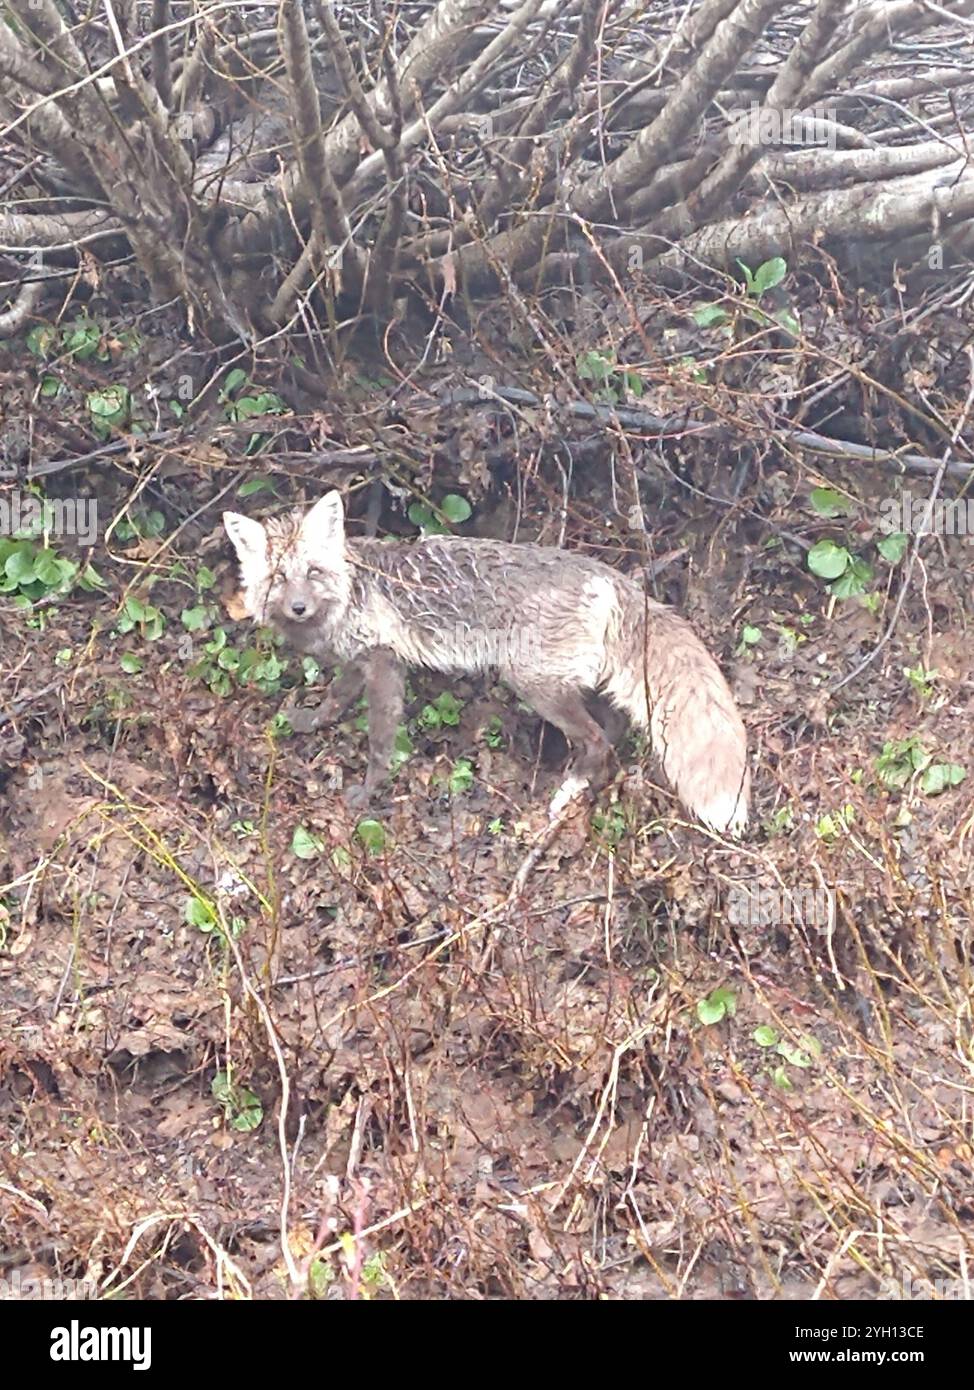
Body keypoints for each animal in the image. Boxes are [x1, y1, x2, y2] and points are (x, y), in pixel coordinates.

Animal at [223, 492, 750, 833]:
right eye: (278, 578)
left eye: (313, 573)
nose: (298, 608)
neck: (349, 594)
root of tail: (609, 576)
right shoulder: (359, 663)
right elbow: (333, 700)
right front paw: (308, 722)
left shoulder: (385, 666)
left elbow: (379, 744)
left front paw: (367, 795)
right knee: (613, 727)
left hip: (533, 684)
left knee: (598, 740)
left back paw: (564, 794)